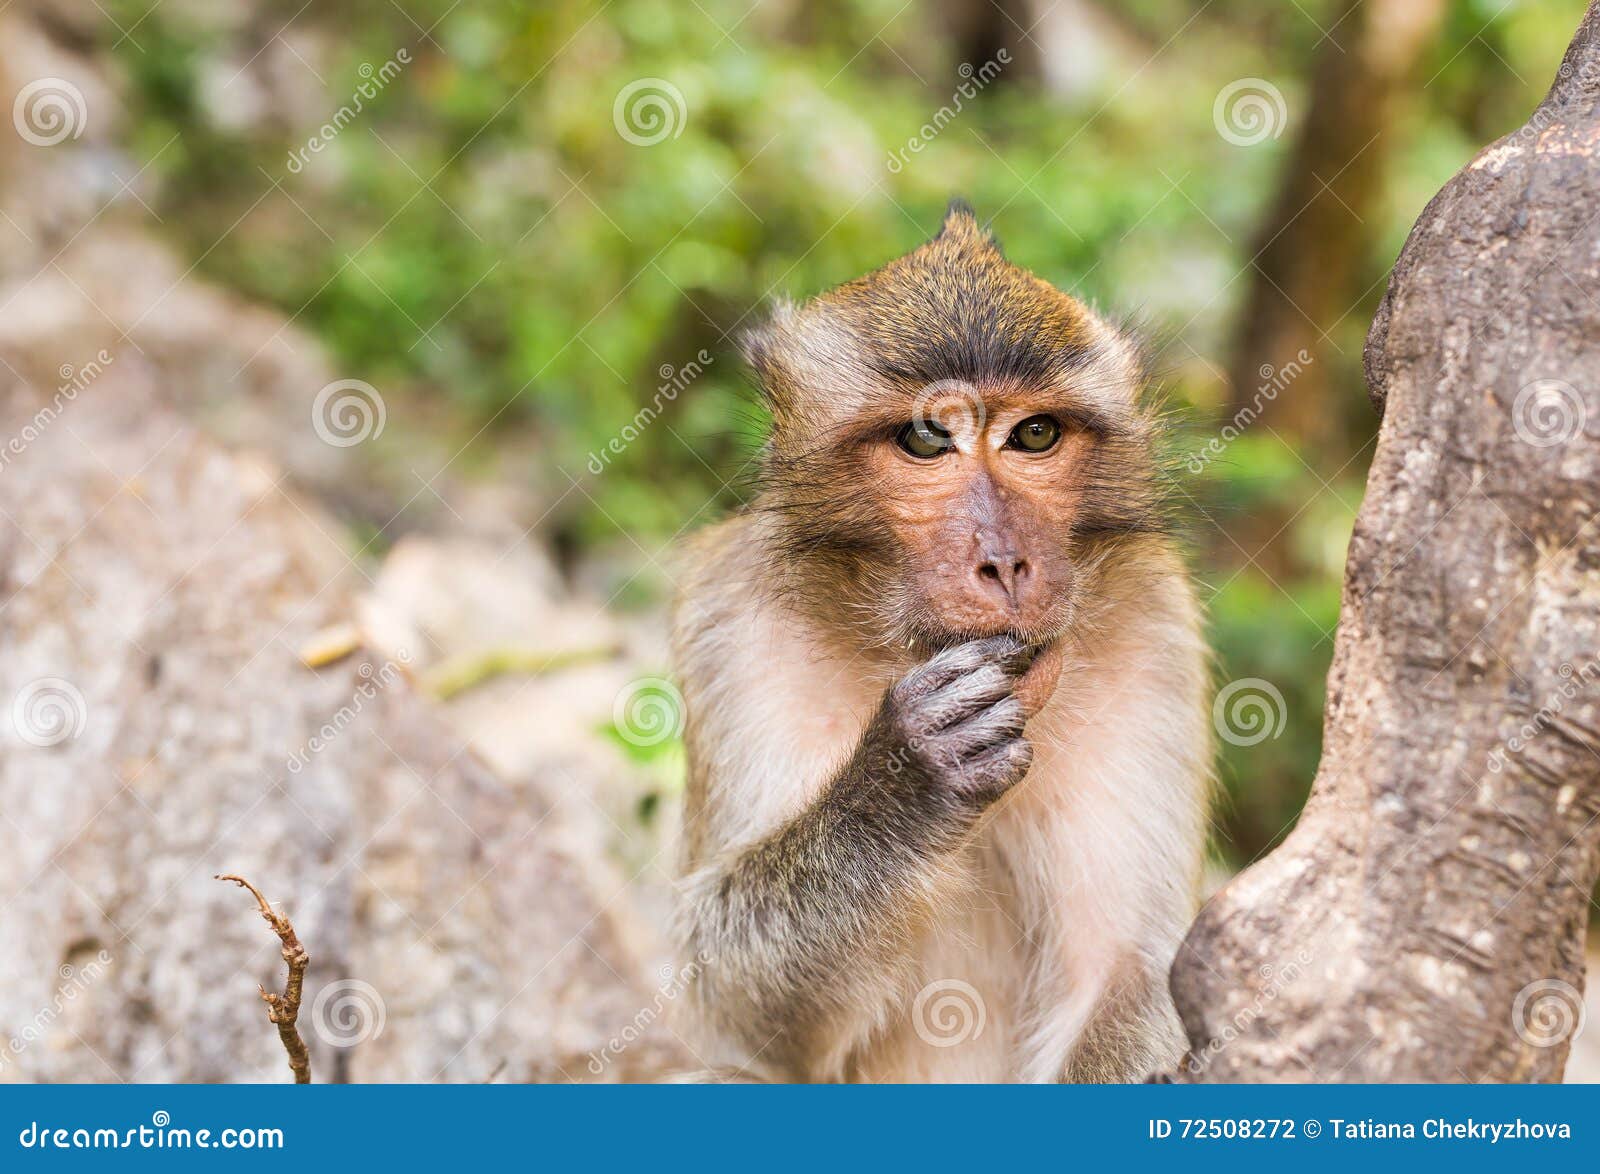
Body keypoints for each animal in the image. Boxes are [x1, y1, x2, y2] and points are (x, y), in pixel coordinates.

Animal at [668, 201, 1211, 1083]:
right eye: (927, 441)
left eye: (1034, 434)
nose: (1005, 561)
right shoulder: (732, 622)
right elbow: (730, 1008)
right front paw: (909, 778)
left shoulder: (1153, 620)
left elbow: (1131, 970)